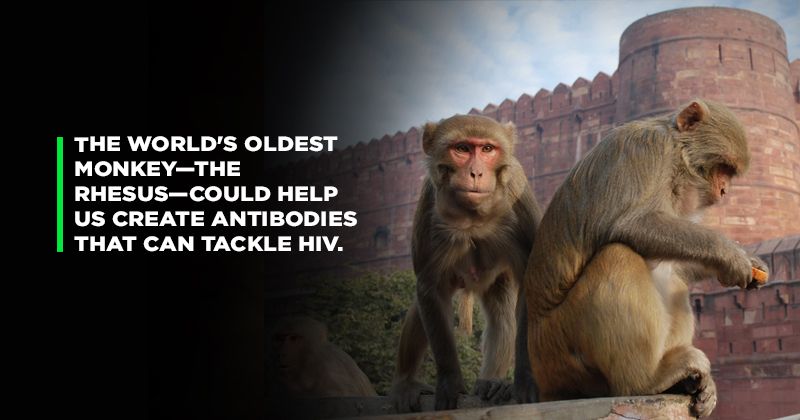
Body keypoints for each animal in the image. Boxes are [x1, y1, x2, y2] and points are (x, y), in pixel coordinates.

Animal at [390, 114, 542, 412]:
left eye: (487, 149)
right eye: (461, 149)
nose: (475, 173)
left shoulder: (518, 193)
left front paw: (526, 379)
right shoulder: (429, 201)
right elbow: (429, 287)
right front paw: (449, 381)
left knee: (502, 314)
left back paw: (492, 382)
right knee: (421, 307)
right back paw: (406, 382)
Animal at [523, 99, 769, 418]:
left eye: (730, 172)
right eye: (721, 168)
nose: (724, 191)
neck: (676, 156)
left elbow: (675, 264)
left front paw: (745, 262)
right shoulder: (647, 149)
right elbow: (631, 225)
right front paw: (730, 254)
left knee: (673, 280)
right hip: (561, 353)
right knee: (618, 256)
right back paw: (645, 380)